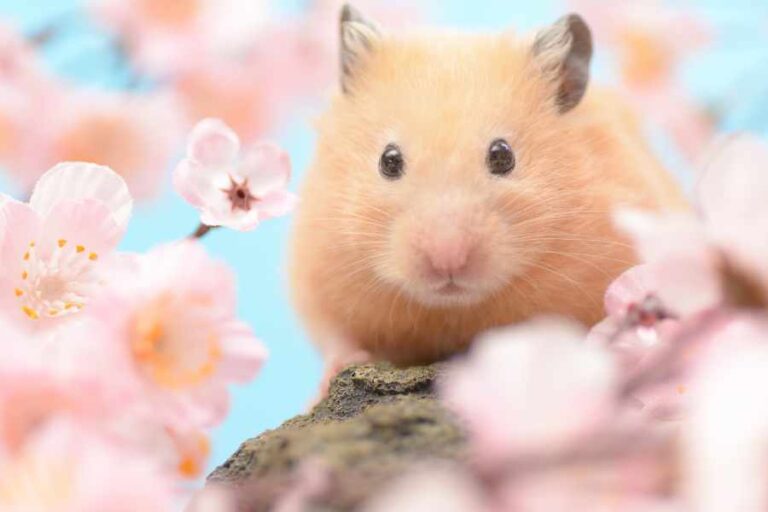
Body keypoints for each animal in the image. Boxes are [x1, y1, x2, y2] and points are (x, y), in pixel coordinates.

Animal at [289, 5, 688, 368]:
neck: (456, 310)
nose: (447, 260)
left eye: (502, 155)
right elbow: (337, 338)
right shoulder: (317, 271)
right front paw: (341, 369)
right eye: (388, 160)